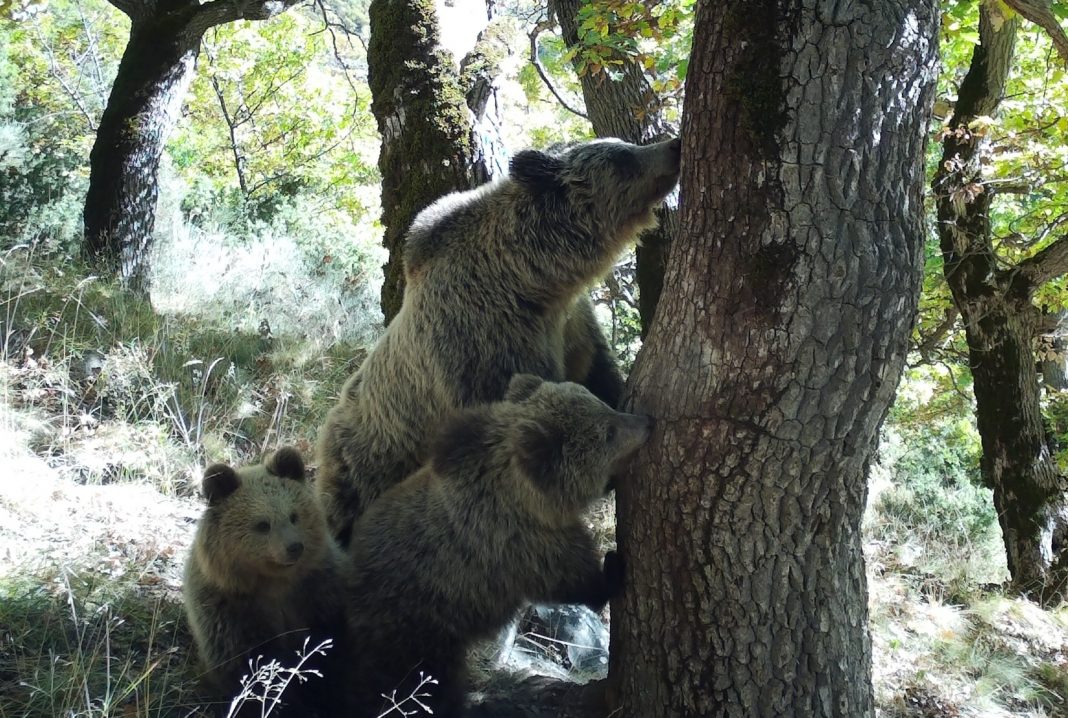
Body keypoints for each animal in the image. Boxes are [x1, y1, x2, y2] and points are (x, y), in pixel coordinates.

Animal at [182, 447, 351, 717]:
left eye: (294, 516)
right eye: (262, 524)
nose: (294, 547)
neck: (274, 582)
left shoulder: (319, 592)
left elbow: (328, 650)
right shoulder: (230, 612)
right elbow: (250, 667)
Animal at [317, 136, 681, 543]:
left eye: (623, 144)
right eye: (622, 158)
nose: (674, 145)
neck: (532, 281)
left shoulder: (572, 327)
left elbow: (597, 371)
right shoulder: (485, 347)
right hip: (366, 468)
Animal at [343, 374, 653, 718]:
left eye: (604, 405)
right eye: (608, 432)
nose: (646, 421)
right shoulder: (521, 546)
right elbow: (573, 583)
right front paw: (613, 567)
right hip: (417, 631)